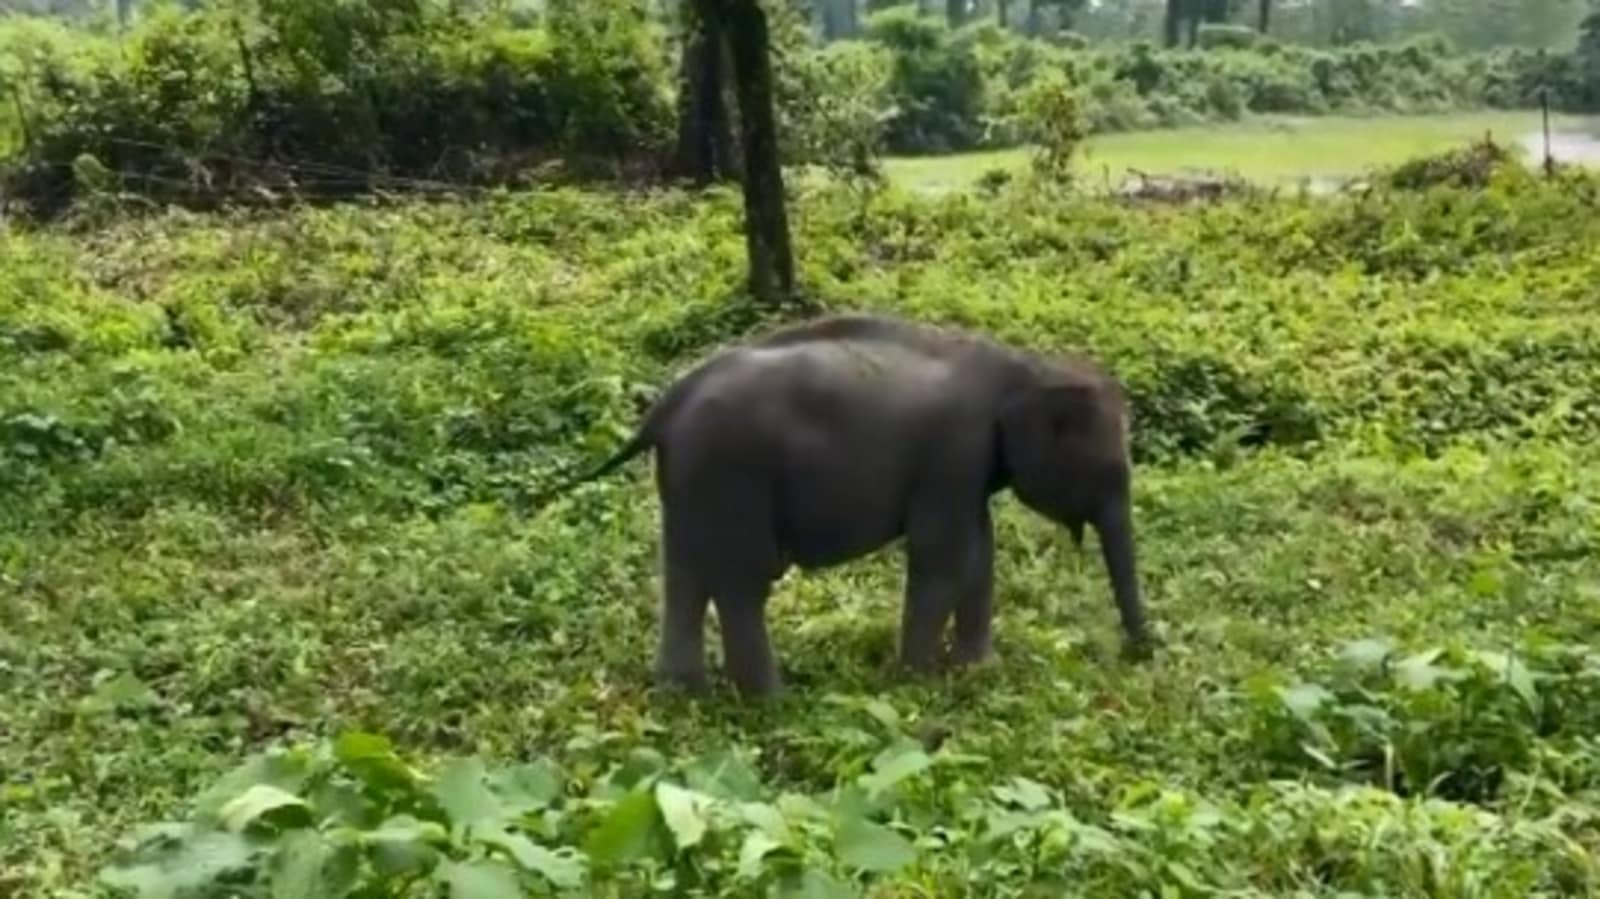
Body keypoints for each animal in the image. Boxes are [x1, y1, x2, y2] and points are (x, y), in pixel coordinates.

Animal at [541, 313, 1154, 698]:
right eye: (1108, 469)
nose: (1141, 653)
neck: (1023, 366)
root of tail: (665, 408)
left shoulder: (968, 470)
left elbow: (980, 552)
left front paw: (977, 672)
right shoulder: (953, 452)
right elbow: (944, 555)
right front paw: (917, 682)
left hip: (689, 481)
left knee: (684, 575)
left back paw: (683, 695)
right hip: (731, 472)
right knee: (741, 583)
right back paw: (772, 701)